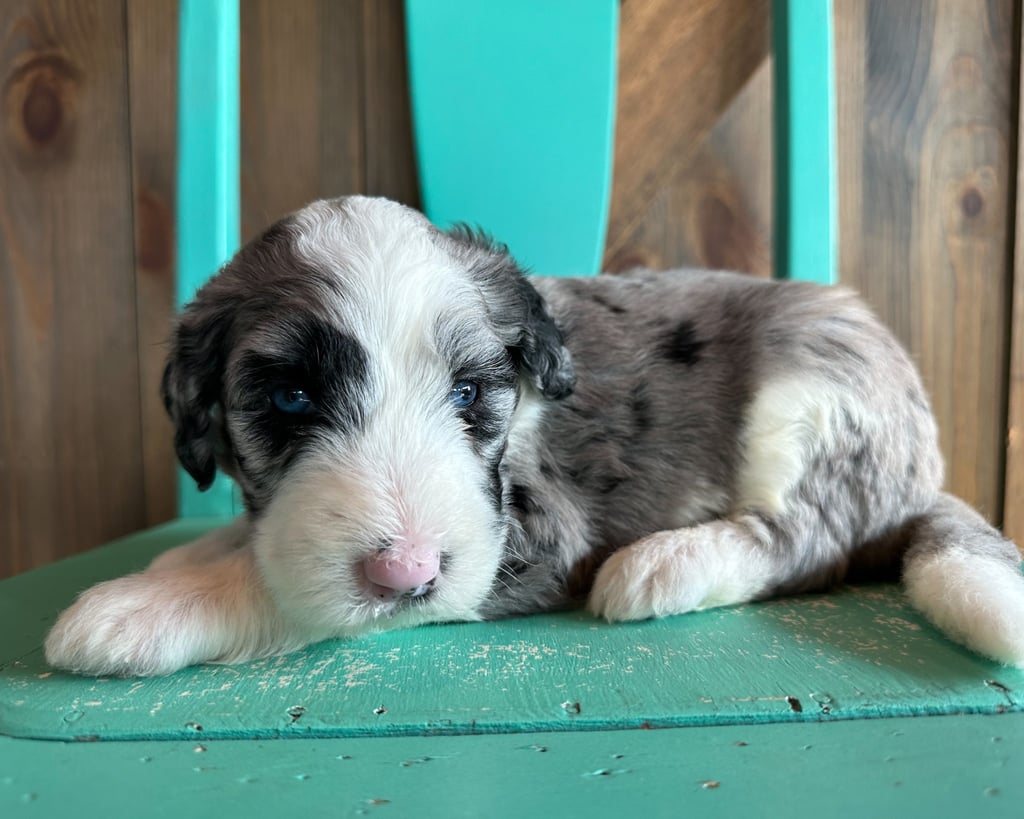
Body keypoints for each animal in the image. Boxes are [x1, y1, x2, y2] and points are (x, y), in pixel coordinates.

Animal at [44, 195, 1024, 675]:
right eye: (288, 398)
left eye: (471, 392)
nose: (403, 569)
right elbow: (256, 542)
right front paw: (183, 558)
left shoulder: (531, 537)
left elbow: (295, 592)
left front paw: (141, 608)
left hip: (810, 387)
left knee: (809, 537)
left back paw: (666, 565)